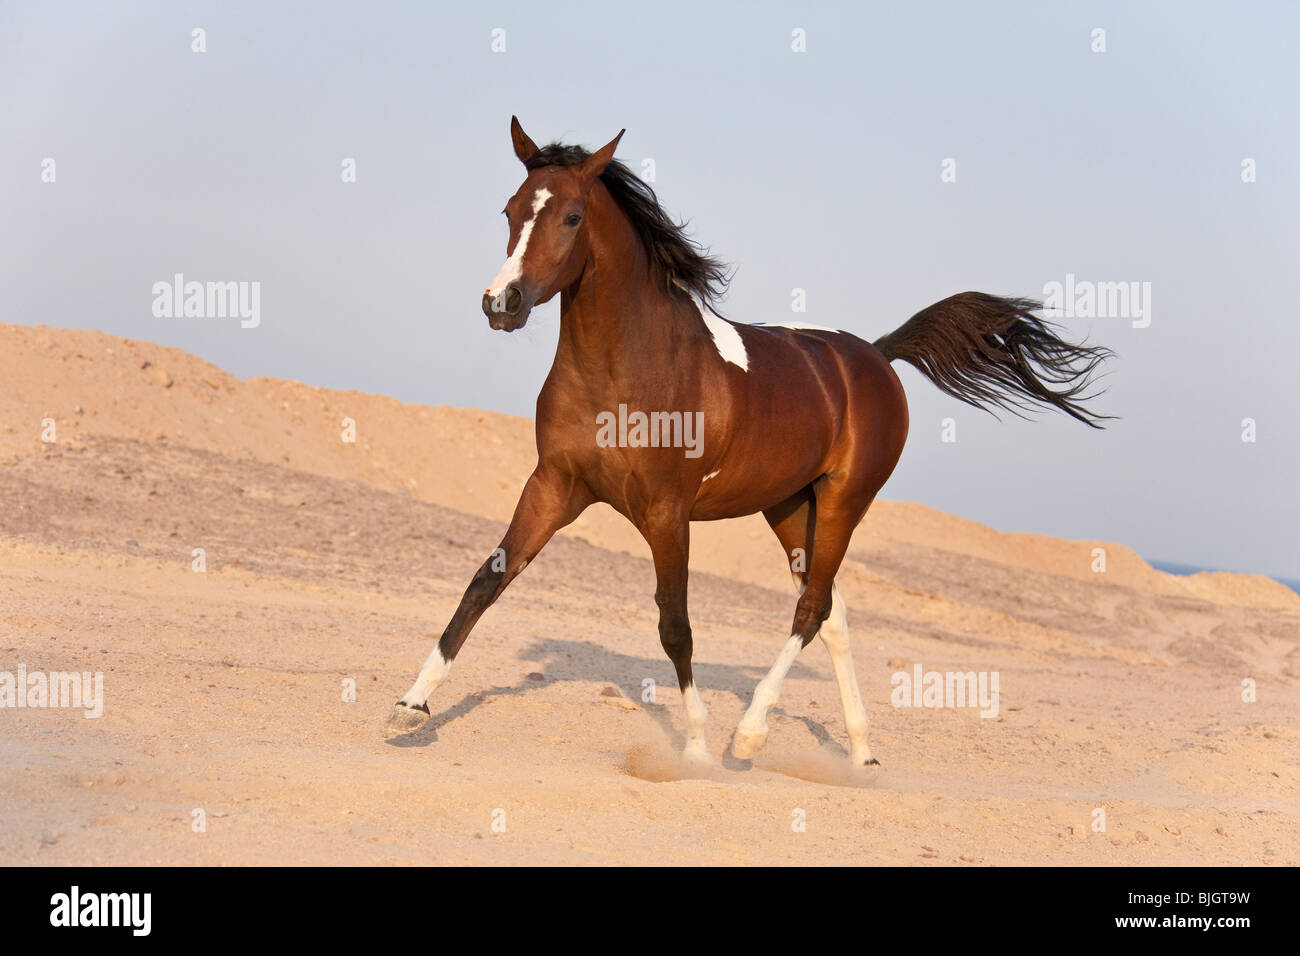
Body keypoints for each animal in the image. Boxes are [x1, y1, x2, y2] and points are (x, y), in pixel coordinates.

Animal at [384, 117, 1111, 769]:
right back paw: (862, 752)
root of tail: (875, 356)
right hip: (787, 506)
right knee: (831, 609)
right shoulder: (555, 487)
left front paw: (698, 748)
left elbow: (675, 626)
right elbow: (486, 581)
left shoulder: (666, 512)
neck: (624, 367)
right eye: (509, 210)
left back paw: (750, 737)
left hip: (844, 499)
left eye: (569, 217)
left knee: (811, 610)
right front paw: (410, 707)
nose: (500, 303)